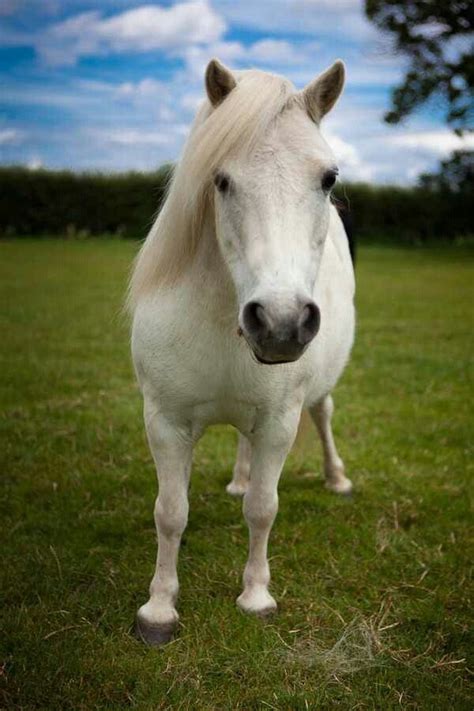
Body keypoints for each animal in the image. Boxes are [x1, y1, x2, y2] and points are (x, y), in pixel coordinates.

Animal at [128, 58, 355, 645]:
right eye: (221, 180)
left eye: (329, 178)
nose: (280, 322)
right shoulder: (165, 421)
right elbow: (170, 512)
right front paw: (158, 609)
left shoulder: (279, 421)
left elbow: (263, 510)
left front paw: (256, 597)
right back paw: (238, 478)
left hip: (316, 392)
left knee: (324, 414)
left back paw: (337, 478)